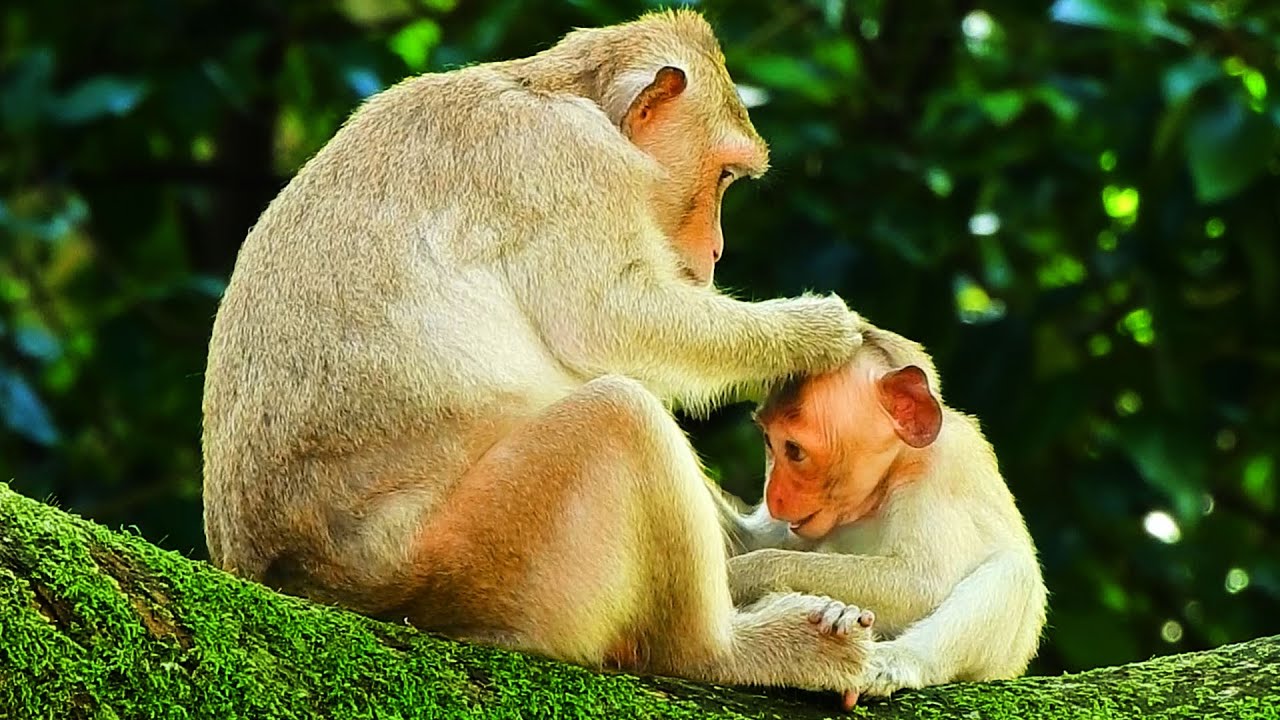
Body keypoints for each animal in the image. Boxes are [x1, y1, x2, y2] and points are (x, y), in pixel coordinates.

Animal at [202, 9, 876, 702]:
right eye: (721, 177)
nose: (715, 250)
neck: (557, 91)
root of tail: (301, 580)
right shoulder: (571, 162)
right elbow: (610, 319)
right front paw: (819, 330)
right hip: (478, 563)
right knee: (620, 414)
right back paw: (722, 652)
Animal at [721, 324, 1048, 703]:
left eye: (794, 450)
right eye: (769, 442)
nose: (774, 497)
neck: (891, 474)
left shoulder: (942, 470)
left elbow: (920, 583)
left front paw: (744, 573)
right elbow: (755, 538)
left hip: (1001, 661)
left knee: (1014, 571)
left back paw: (892, 660)